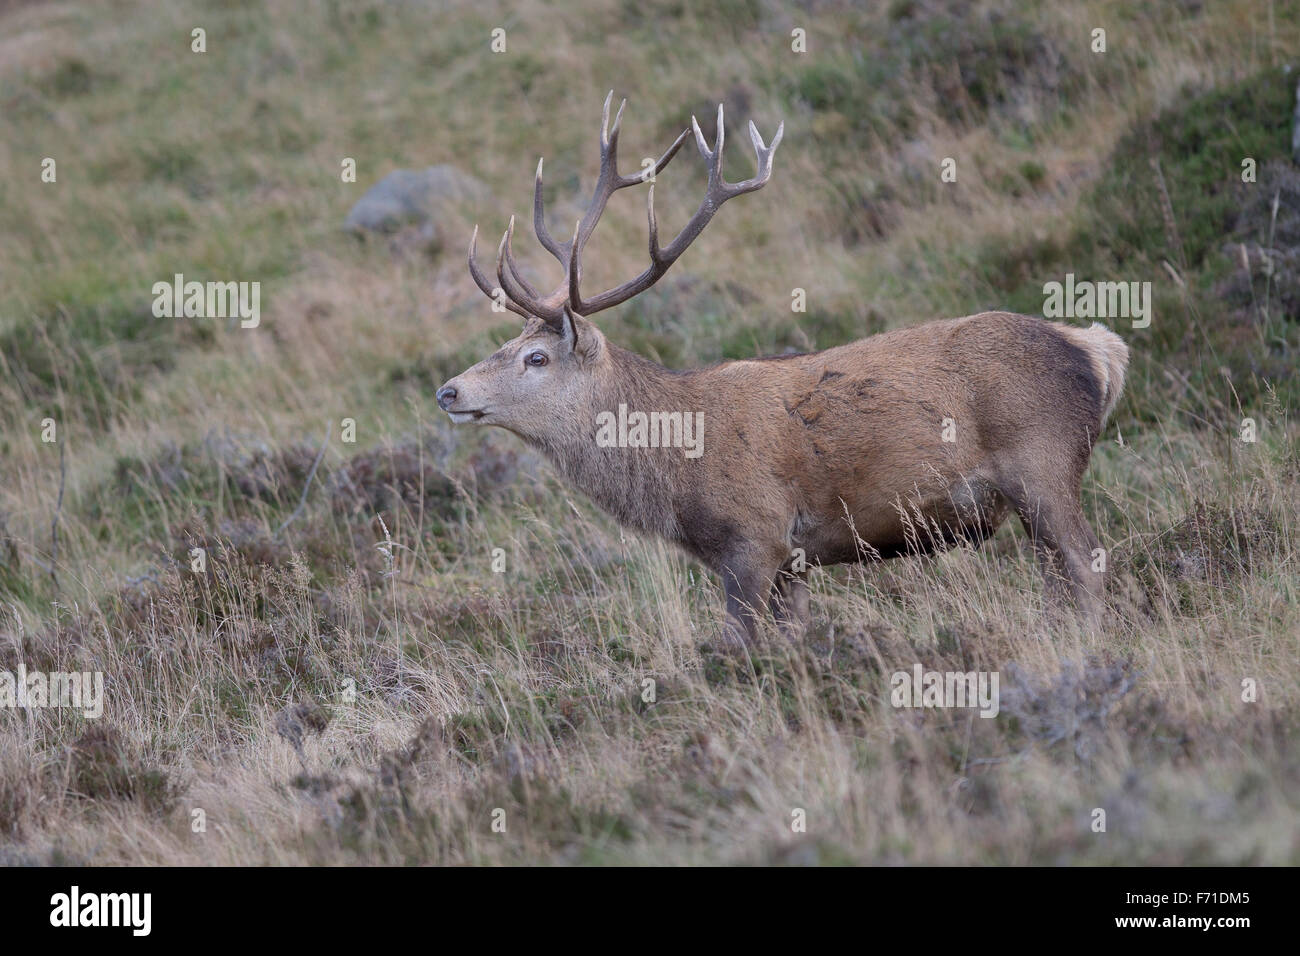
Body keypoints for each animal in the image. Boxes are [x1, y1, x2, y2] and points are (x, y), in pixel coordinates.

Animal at [436, 92, 1129, 650]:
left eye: (536, 357)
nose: (448, 390)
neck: (674, 466)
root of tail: (1098, 350)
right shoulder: (793, 561)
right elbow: (793, 640)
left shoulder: (753, 537)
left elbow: (740, 645)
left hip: (1042, 462)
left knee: (1088, 565)